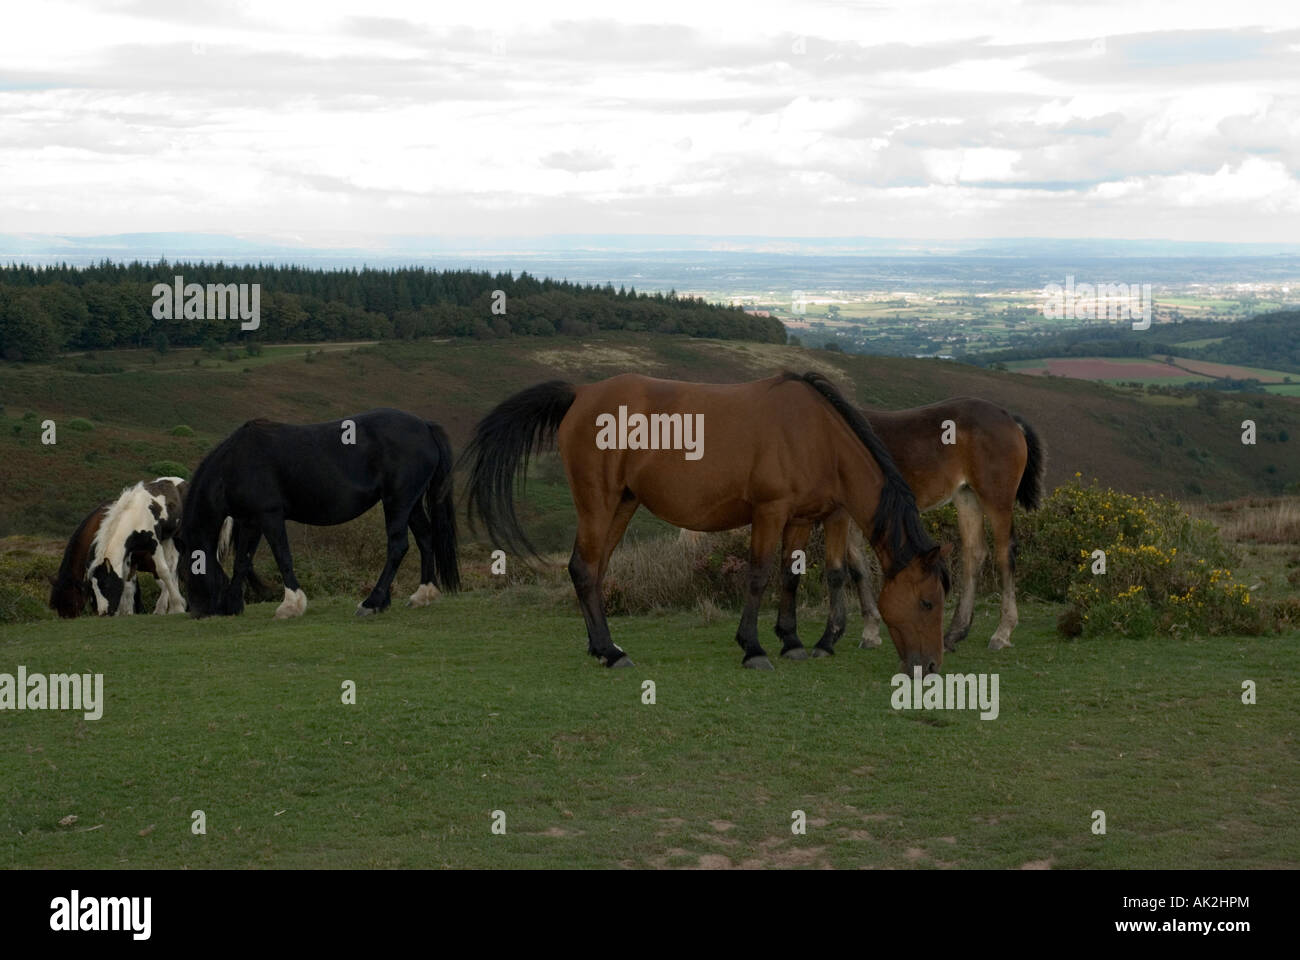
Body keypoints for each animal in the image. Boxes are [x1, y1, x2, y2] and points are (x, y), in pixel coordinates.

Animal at [86, 477, 188, 615]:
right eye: (93, 589)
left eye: (105, 584)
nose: (103, 613)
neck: (135, 516)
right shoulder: (130, 552)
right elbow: (127, 579)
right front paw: (125, 612)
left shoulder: (154, 543)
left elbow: (163, 571)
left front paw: (178, 607)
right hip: (167, 540)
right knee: (172, 566)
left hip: (177, 537)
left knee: (172, 568)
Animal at [178, 409, 460, 619]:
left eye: (187, 572)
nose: (198, 612)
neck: (235, 463)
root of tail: (425, 426)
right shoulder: (250, 521)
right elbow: (242, 561)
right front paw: (232, 605)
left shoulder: (270, 516)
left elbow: (283, 557)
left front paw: (291, 605)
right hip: (411, 504)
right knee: (425, 539)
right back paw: (422, 595)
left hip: (398, 502)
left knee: (398, 546)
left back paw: (372, 602)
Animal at [464, 371, 952, 672]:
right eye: (927, 602)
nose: (930, 667)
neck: (815, 433)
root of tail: (581, 394)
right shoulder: (770, 512)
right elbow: (758, 575)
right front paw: (753, 648)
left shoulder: (800, 519)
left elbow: (791, 577)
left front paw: (794, 642)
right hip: (598, 504)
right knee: (584, 569)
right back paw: (609, 652)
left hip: (622, 506)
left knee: (595, 570)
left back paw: (604, 648)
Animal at [792, 397, 1045, 655]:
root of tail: (1010, 419)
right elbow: (858, 568)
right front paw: (871, 632)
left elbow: (839, 569)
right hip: (966, 496)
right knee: (974, 553)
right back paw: (954, 633)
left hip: (996, 500)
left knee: (1004, 554)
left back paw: (1002, 633)